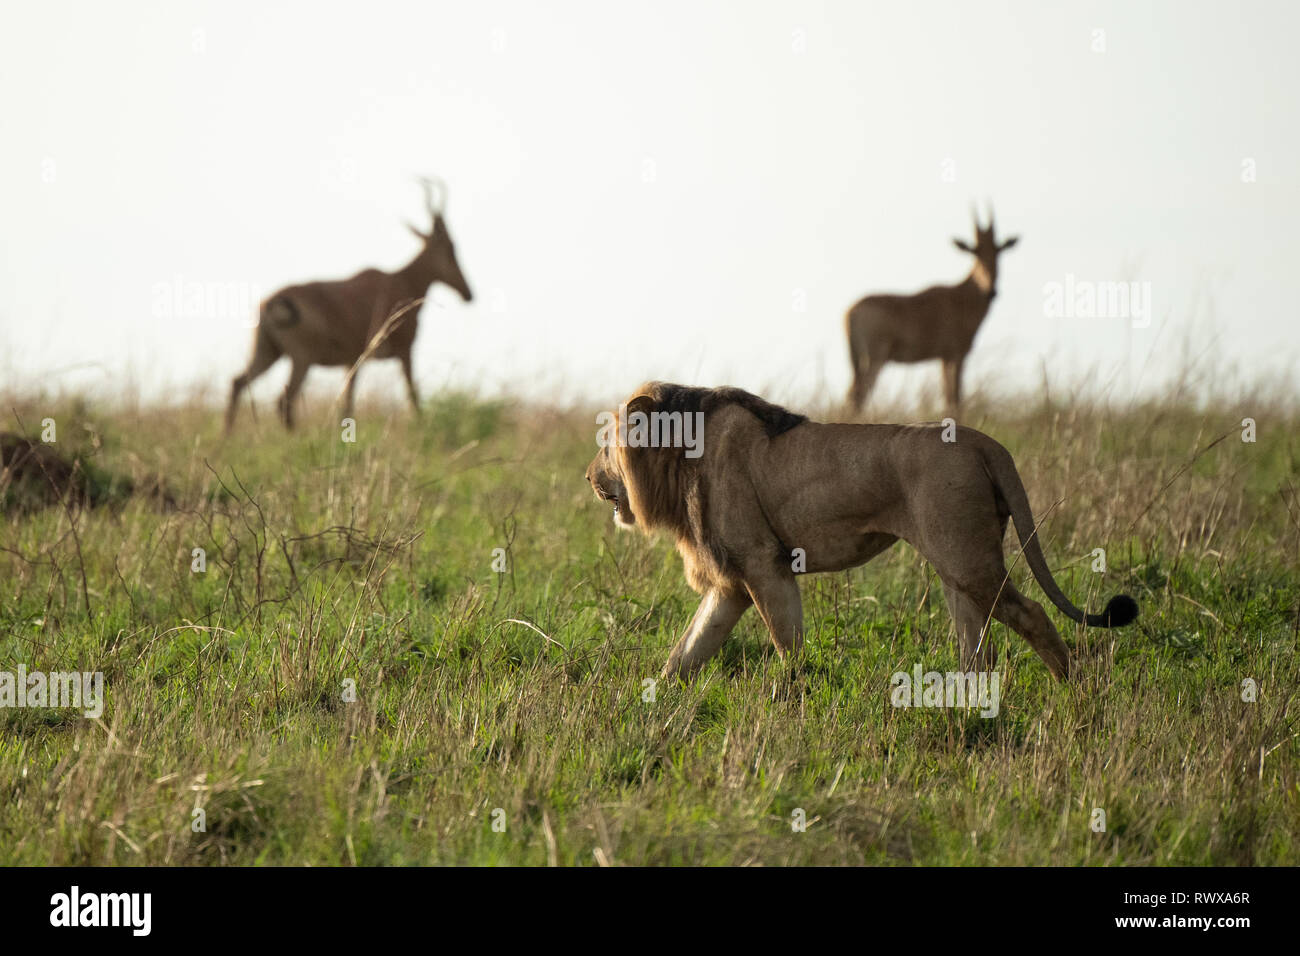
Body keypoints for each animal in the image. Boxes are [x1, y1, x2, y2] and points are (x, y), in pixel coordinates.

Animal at [585, 382, 1137, 681]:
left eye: (607, 443)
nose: (588, 478)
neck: (678, 459)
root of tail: (987, 442)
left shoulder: (765, 566)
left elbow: (788, 648)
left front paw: (793, 699)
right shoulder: (731, 584)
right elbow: (686, 652)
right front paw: (652, 703)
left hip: (969, 562)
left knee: (1034, 614)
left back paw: (1073, 691)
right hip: (957, 570)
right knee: (976, 648)